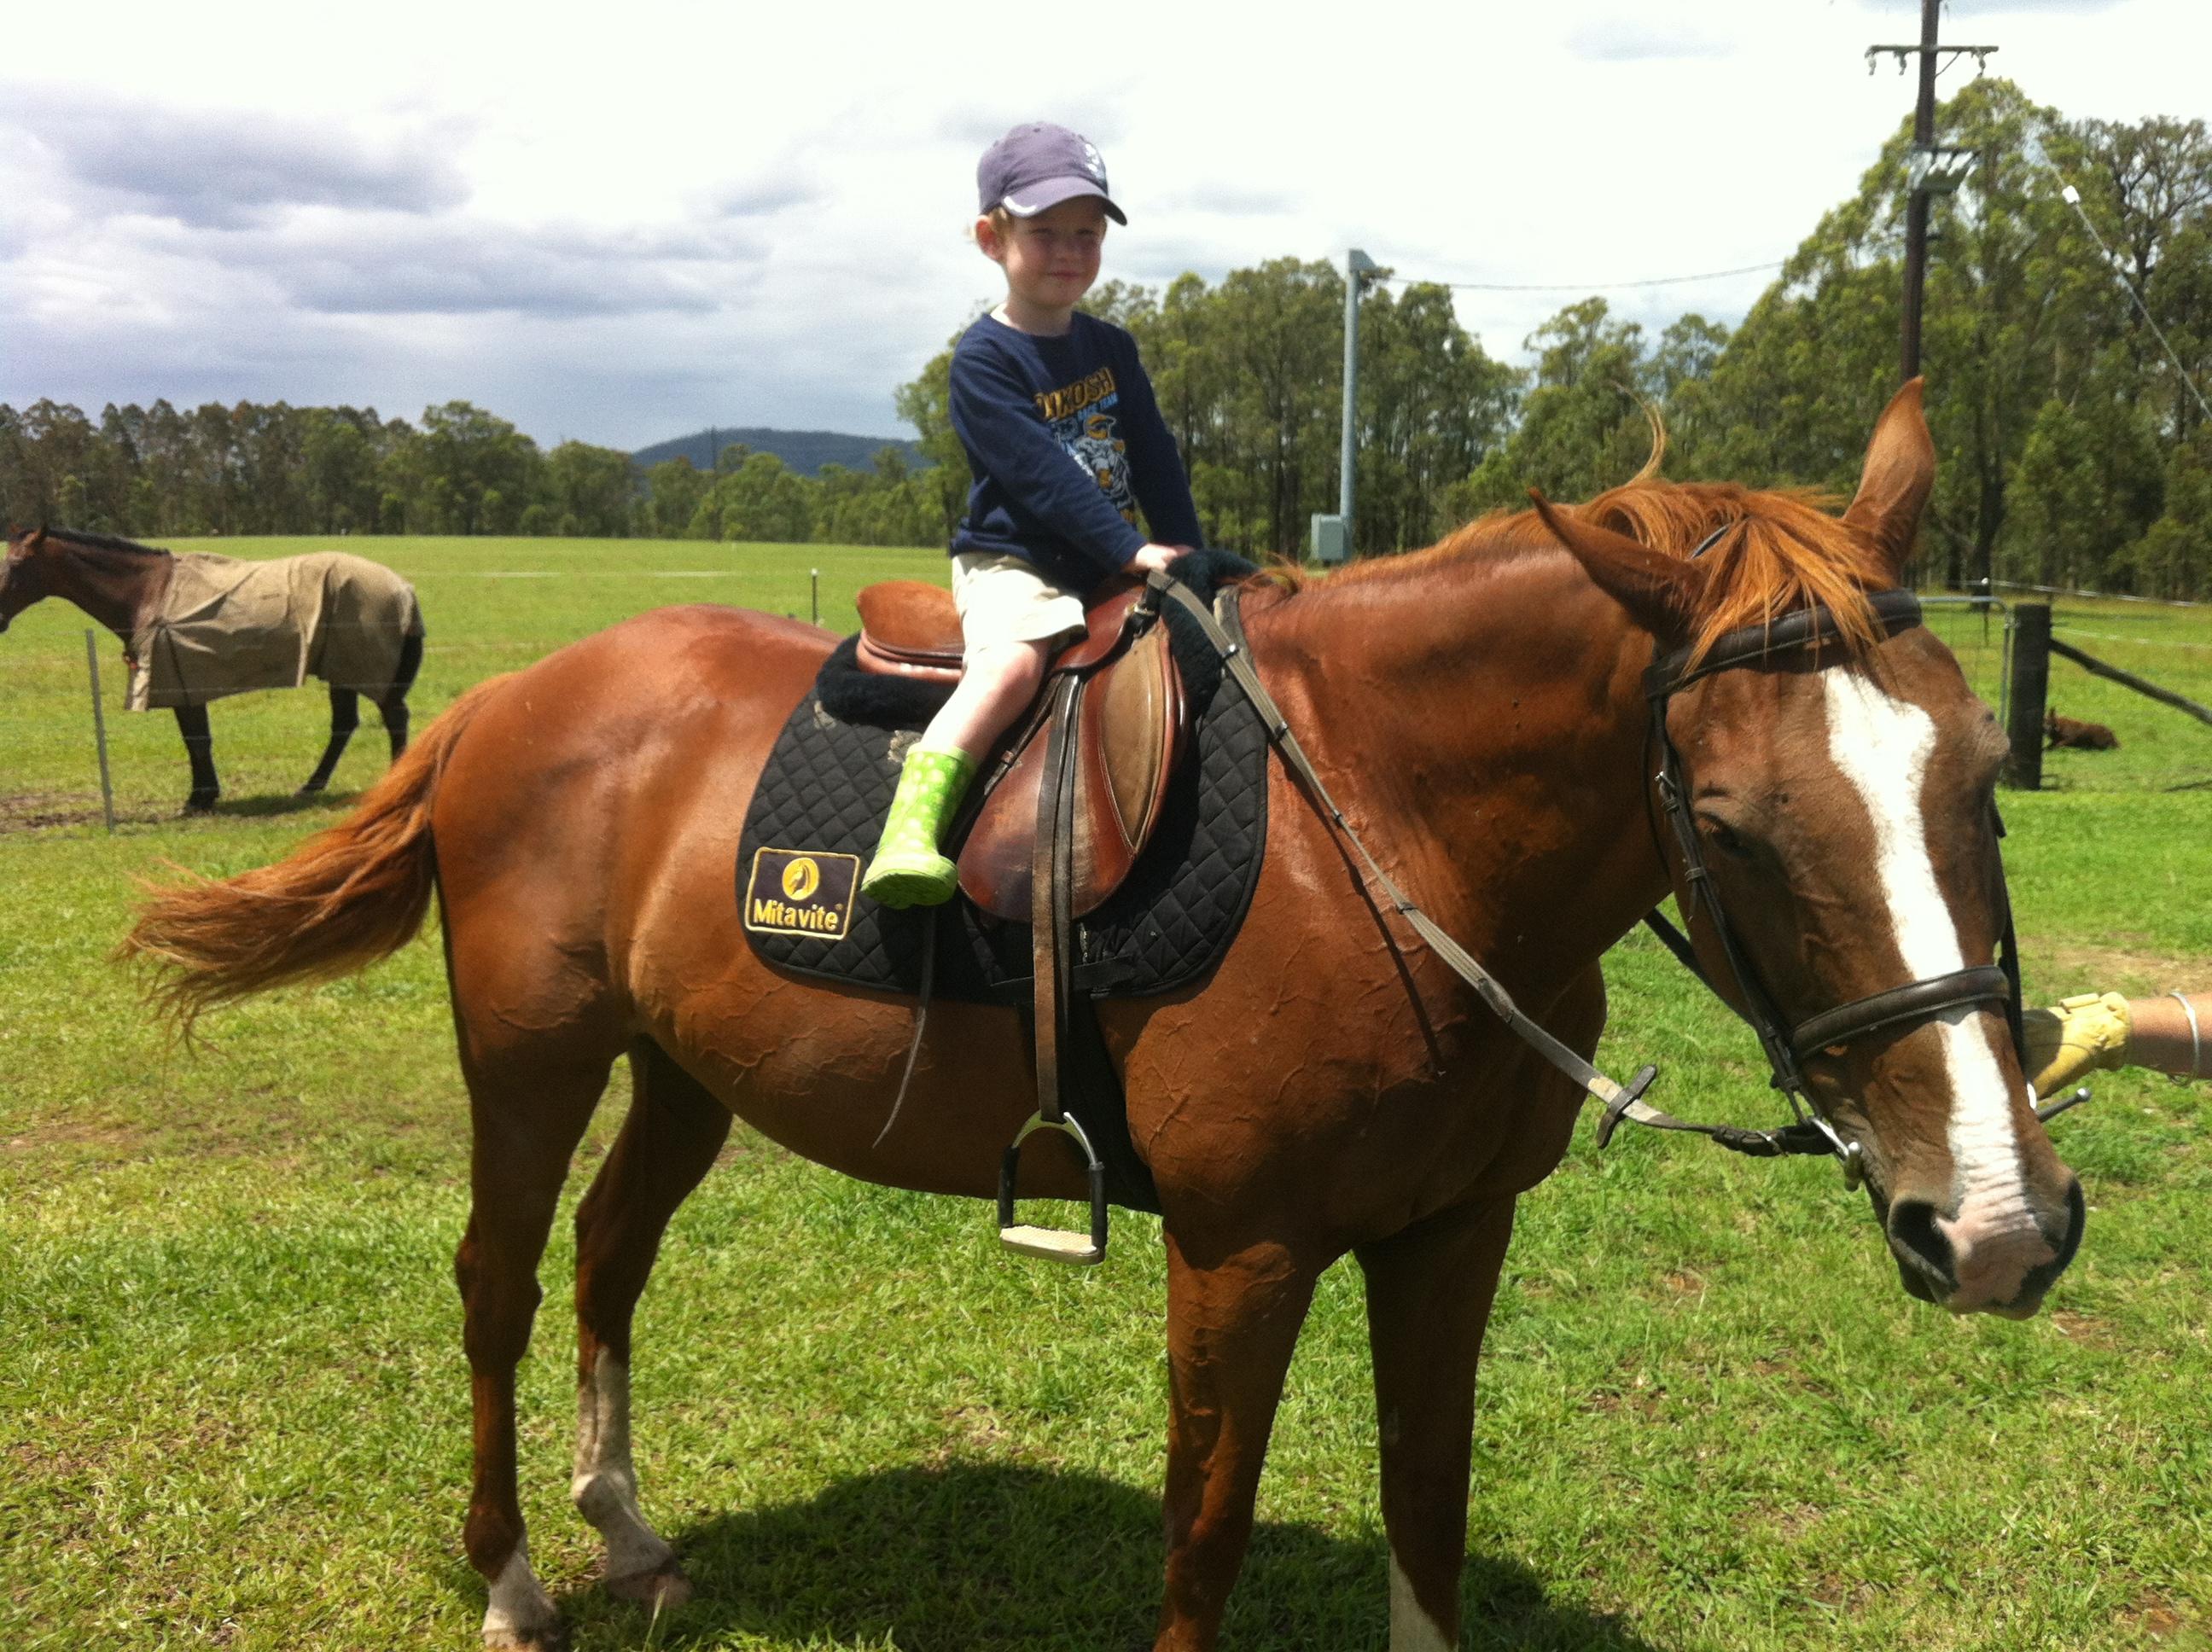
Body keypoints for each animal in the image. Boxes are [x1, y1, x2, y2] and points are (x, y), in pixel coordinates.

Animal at [0, 525, 424, 813]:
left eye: (16, 563)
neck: (149, 592)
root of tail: (403, 589)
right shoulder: (187, 684)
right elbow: (198, 739)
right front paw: (205, 795)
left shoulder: (179, 683)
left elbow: (196, 741)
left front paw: (198, 799)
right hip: (342, 670)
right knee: (345, 725)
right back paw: (311, 786)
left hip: (367, 672)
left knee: (394, 718)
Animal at [122, 382, 2083, 1652]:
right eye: (1733, 821)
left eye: (1991, 773)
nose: (1997, 1222)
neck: (1386, 830)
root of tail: (511, 695)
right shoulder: (1242, 1249)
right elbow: (1203, 1538)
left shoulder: (1452, 1236)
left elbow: (1429, 1506)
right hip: (530, 1060)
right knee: (503, 1282)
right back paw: (516, 1577)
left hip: (687, 1068)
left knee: (612, 1258)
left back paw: (627, 1534)